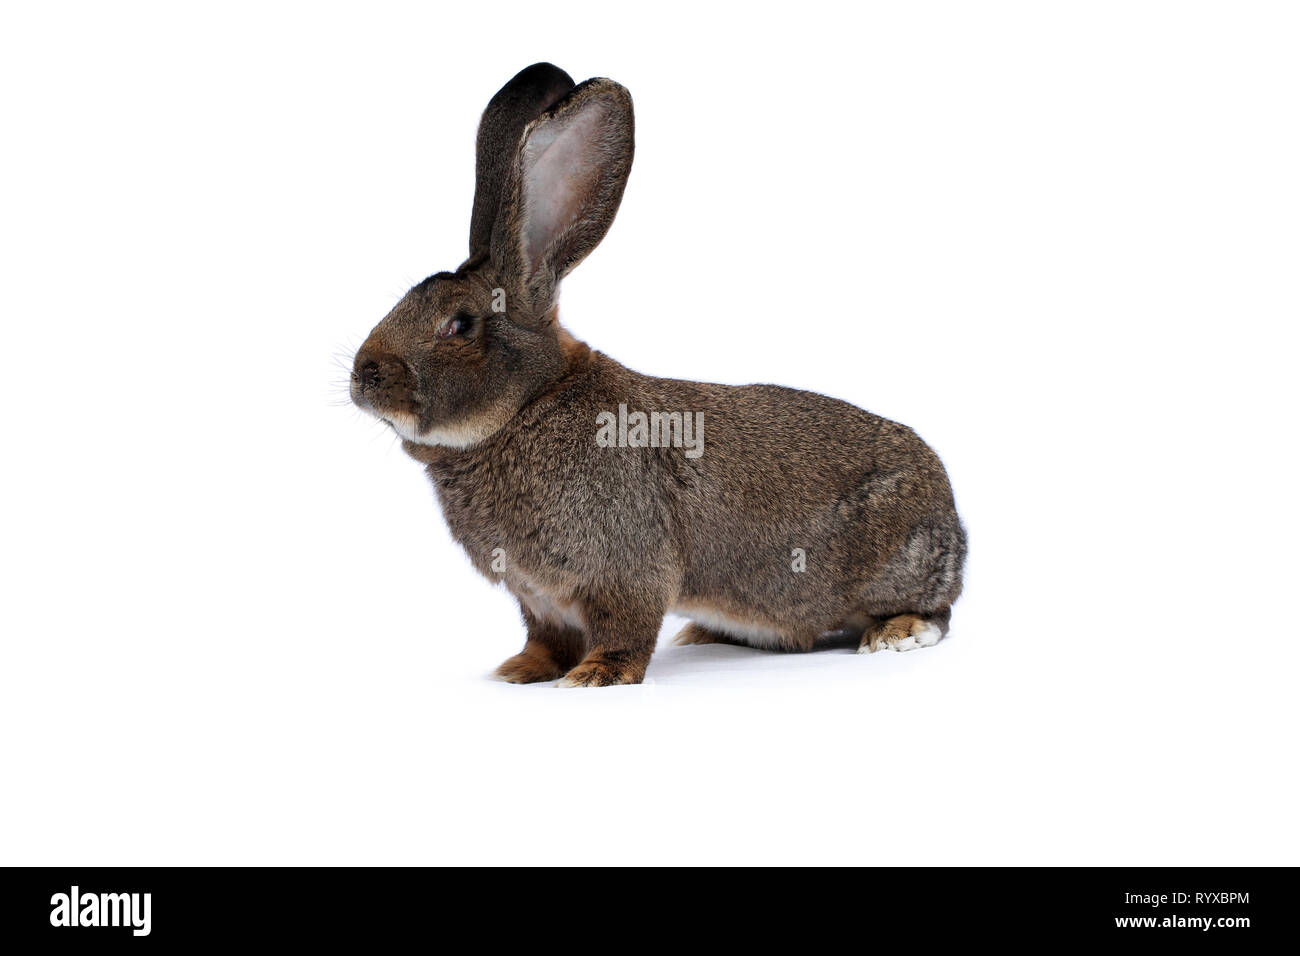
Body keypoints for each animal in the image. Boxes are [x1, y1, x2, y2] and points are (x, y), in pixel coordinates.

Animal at [351, 63, 966, 687]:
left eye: (458, 324)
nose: (362, 375)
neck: (530, 403)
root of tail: (947, 507)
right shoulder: (538, 599)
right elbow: (545, 640)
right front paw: (520, 672)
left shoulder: (624, 569)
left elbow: (625, 630)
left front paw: (595, 676)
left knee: (935, 611)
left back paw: (896, 634)